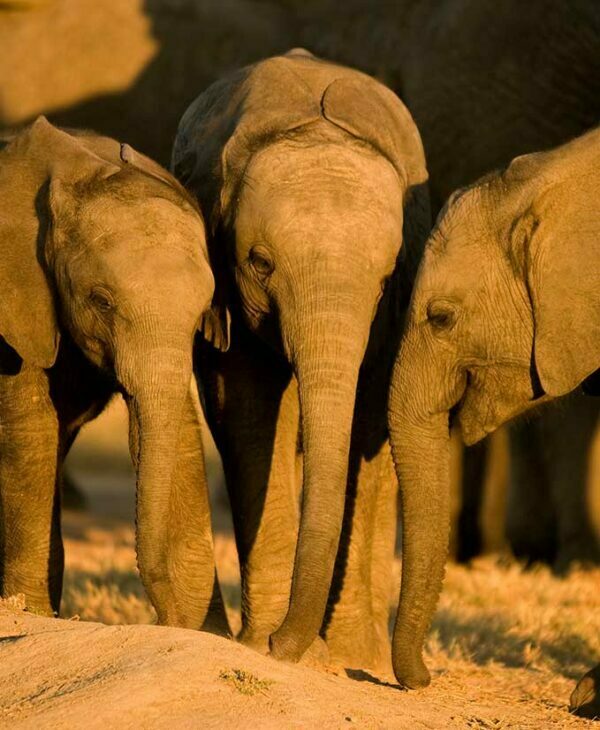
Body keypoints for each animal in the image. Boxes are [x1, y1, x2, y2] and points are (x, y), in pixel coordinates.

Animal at [0, 117, 229, 636]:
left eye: (200, 314)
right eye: (101, 301)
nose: (164, 619)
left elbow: (178, 433)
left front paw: (208, 634)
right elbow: (30, 431)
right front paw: (29, 614)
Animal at [172, 50, 430, 671]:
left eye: (385, 278)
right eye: (261, 263)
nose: (281, 643)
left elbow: (368, 423)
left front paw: (346, 656)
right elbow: (245, 410)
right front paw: (269, 645)